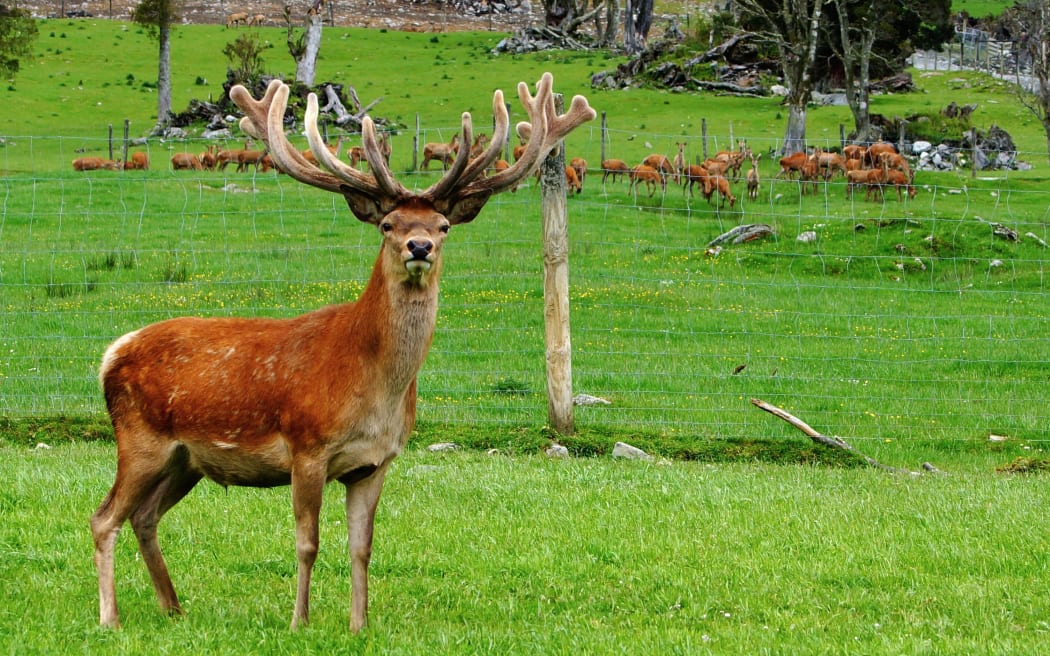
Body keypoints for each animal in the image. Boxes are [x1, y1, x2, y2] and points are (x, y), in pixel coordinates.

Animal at [89, 73, 595, 633]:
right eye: (388, 224)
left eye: (442, 226)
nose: (419, 247)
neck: (371, 383)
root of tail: (111, 354)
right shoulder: (307, 448)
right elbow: (307, 542)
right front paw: (299, 622)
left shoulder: (375, 462)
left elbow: (362, 548)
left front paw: (359, 624)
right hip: (140, 440)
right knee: (103, 517)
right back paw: (111, 618)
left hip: (185, 460)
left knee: (144, 516)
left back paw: (174, 608)